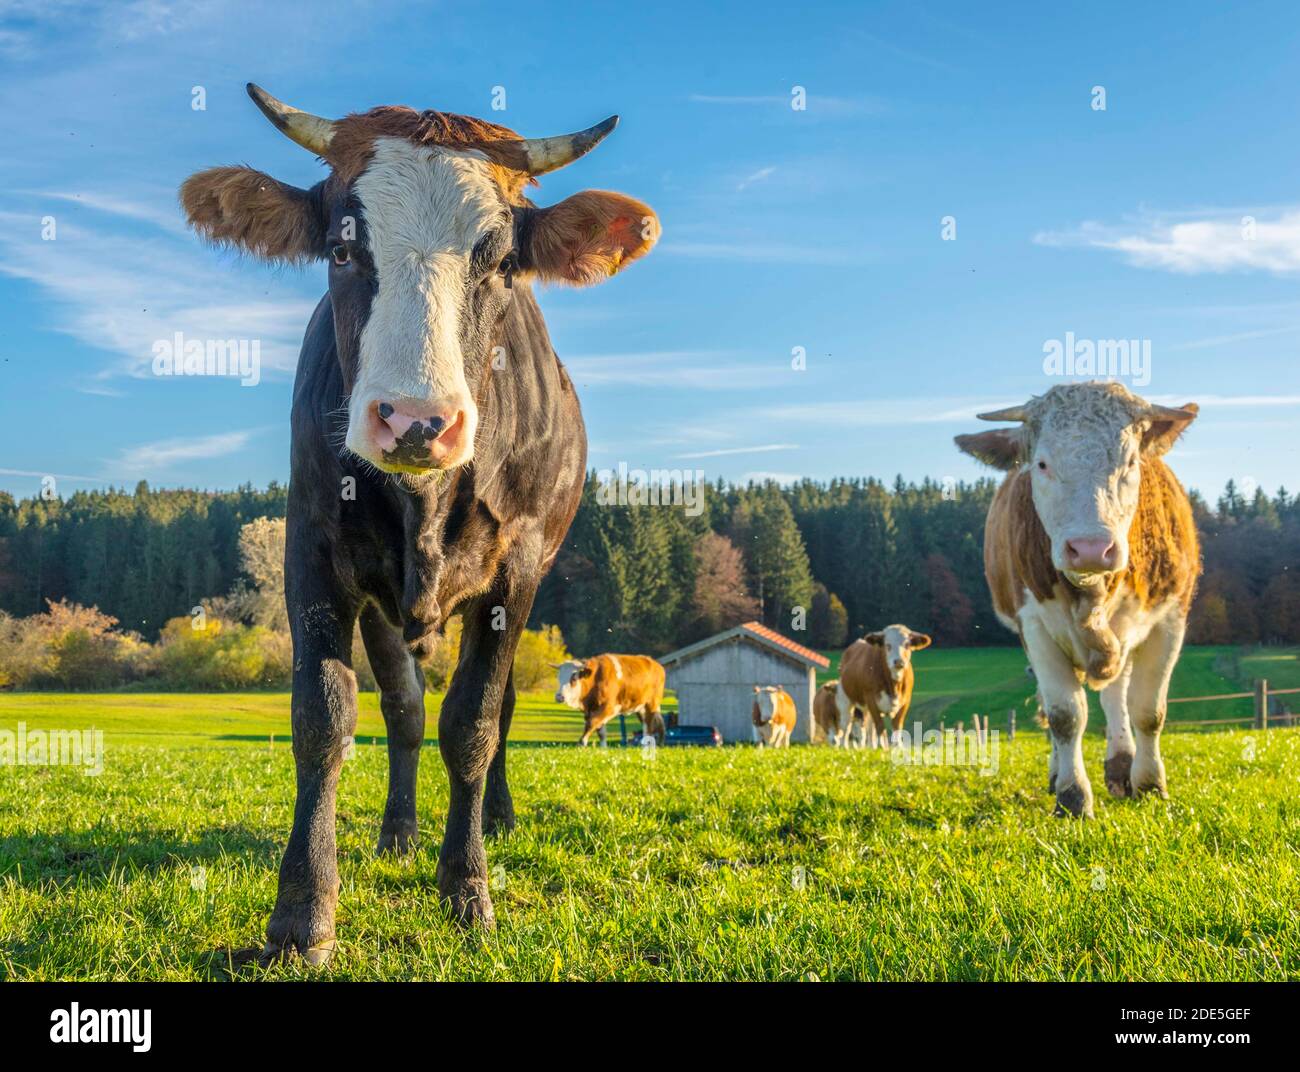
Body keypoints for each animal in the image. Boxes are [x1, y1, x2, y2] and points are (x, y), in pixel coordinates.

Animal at [180, 85, 658, 961]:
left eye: (500, 263)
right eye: (342, 252)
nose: (415, 421)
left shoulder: (516, 571)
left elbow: (473, 721)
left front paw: (467, 888)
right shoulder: (315, 552)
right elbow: (328, 720)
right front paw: (303, 913)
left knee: (498, 710)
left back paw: (496, 819)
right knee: (402, 707)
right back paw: (399, 832)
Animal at [955, 381, 1200, 817]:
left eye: (1131, 461)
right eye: (1041, 464)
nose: (1090, 548)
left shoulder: (1171, 619)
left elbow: (1148, 710)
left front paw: (1150, 784)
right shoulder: (1033, 625)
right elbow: (1065, 715)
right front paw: (1072, 796)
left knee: (1117, 694)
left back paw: (1121, 764)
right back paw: (1059, 774)